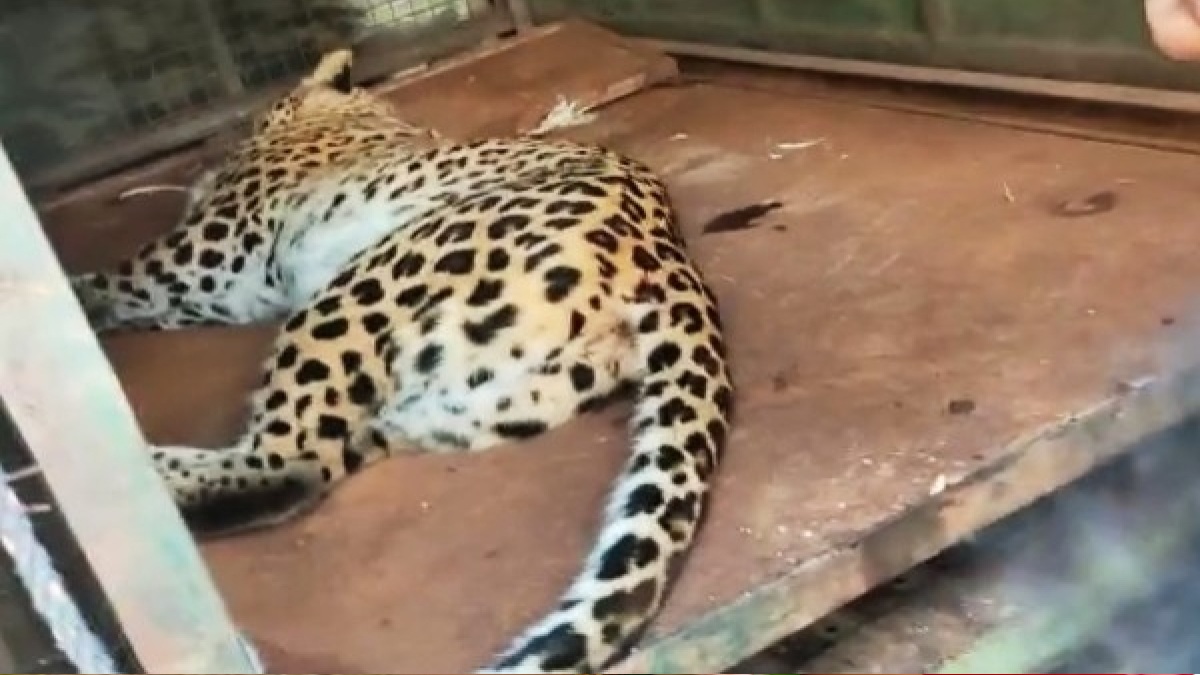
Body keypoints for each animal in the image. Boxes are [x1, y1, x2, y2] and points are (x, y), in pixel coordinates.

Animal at [70, 48, 734, 674]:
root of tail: (668, 258)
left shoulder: (202, 250)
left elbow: (116, 279)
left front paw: (74, 294)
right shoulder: (223, 291)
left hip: (350, 295)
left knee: (292, 465)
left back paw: (135, 482)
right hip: (454, 404)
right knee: (327, 453)